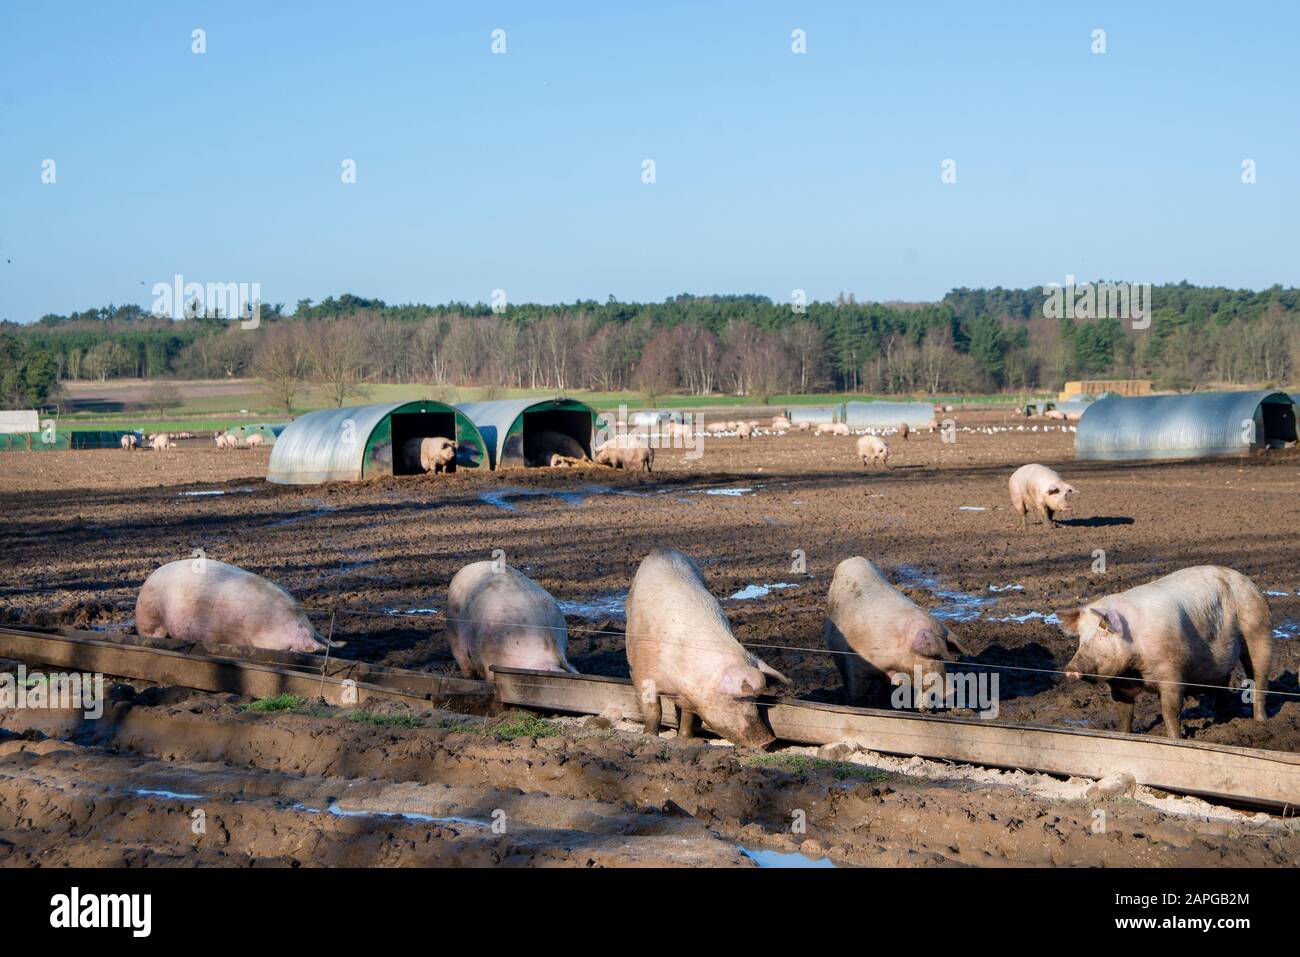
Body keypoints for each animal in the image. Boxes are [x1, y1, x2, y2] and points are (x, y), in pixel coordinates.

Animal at [625, 548, 790, 747]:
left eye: (756, 698)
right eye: (737, 698)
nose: (768, 741)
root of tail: (663, 550)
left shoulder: (690, 695)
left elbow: (689, 714)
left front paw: (688, 740)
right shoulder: (641, 674)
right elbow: (653, 711)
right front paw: (650, 737)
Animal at [823, 558, 968, 707]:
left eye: (942, 657)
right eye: (931, 656)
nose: (953, 691)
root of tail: (852, 559)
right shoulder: (855, 663)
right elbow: (856, 690)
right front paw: (855, 705)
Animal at [1057, 566, 1272, 739]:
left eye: (1103, 633)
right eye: (1081, 637)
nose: (1070, 669)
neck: (1134, 670)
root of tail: (1249, 583)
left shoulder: (1172, 672)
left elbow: (1170, 711)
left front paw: (1176, 740)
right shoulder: (1120, 685)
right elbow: (1124, 712)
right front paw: (1124, 736)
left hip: (1259, 632)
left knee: (1259, 679)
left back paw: (1261, 722)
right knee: (1225, 682)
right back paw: (1219, 714)